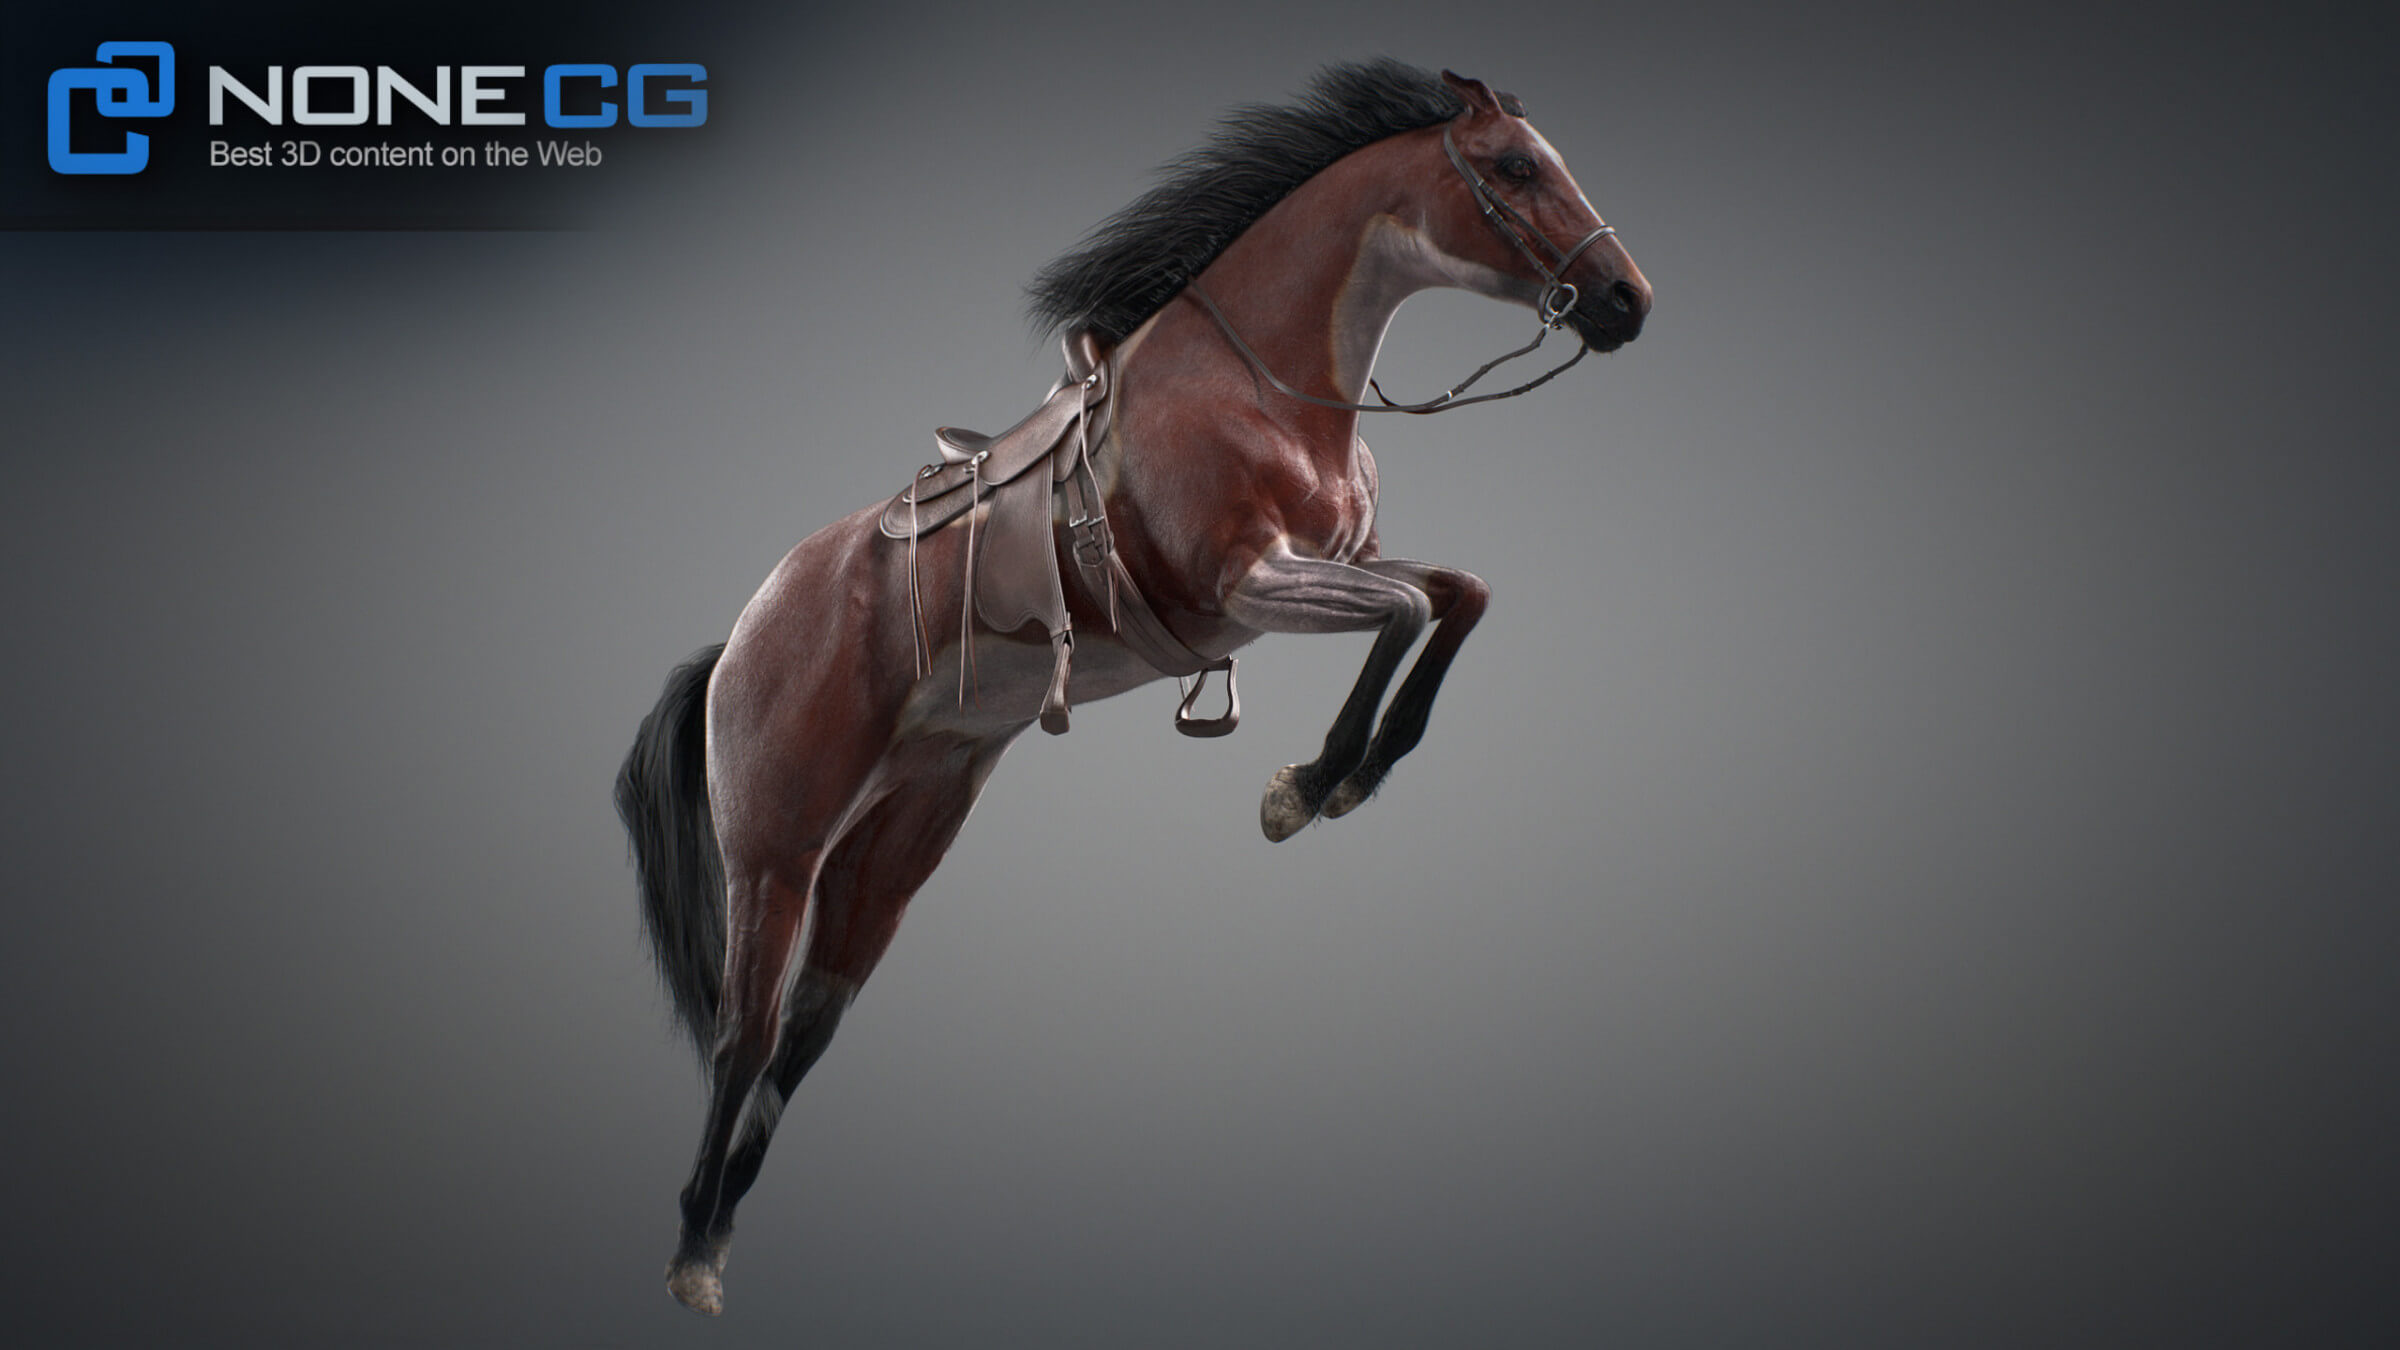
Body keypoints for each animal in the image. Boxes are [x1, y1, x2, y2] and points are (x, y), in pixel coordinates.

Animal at [615, 59, 1650, 1315]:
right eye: (1514, 166)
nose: (1627, 299)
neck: (1261, 386)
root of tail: (738, 643)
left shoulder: (1328, 571)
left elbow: (1460, 594)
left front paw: (1347, 778)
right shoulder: (1251, 585)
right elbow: (1412, 611)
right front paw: (1305, 788)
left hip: (897, 849)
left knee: (803, 1038)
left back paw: (716, 1232)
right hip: (776, 856)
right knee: (743, 1039)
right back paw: (689, 1256)